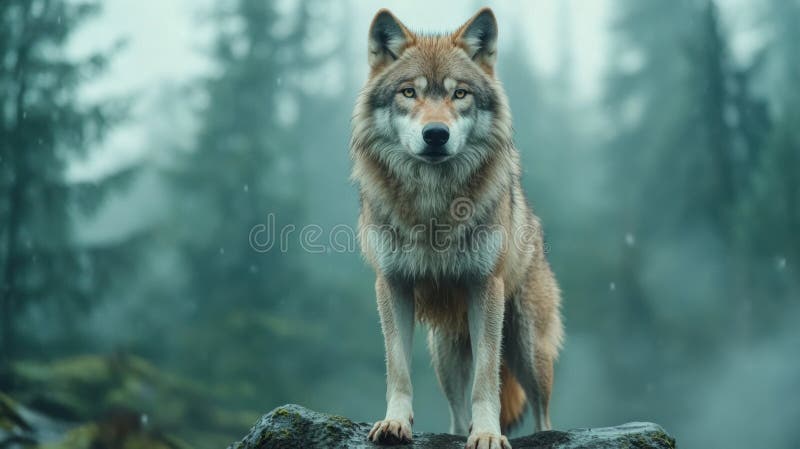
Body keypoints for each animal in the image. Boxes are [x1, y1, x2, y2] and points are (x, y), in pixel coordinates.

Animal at [350, 8, 564, 449]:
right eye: (409, 93)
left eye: (460, 94)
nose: (436, 134)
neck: (434, 206)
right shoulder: (392, 284)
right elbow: (397, 367)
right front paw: (394, 423)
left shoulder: (485, 286)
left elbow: (487, 380)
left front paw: (487, 434)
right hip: (446, 355)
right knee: (455, 412)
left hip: (527, 346)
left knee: (543, 412)